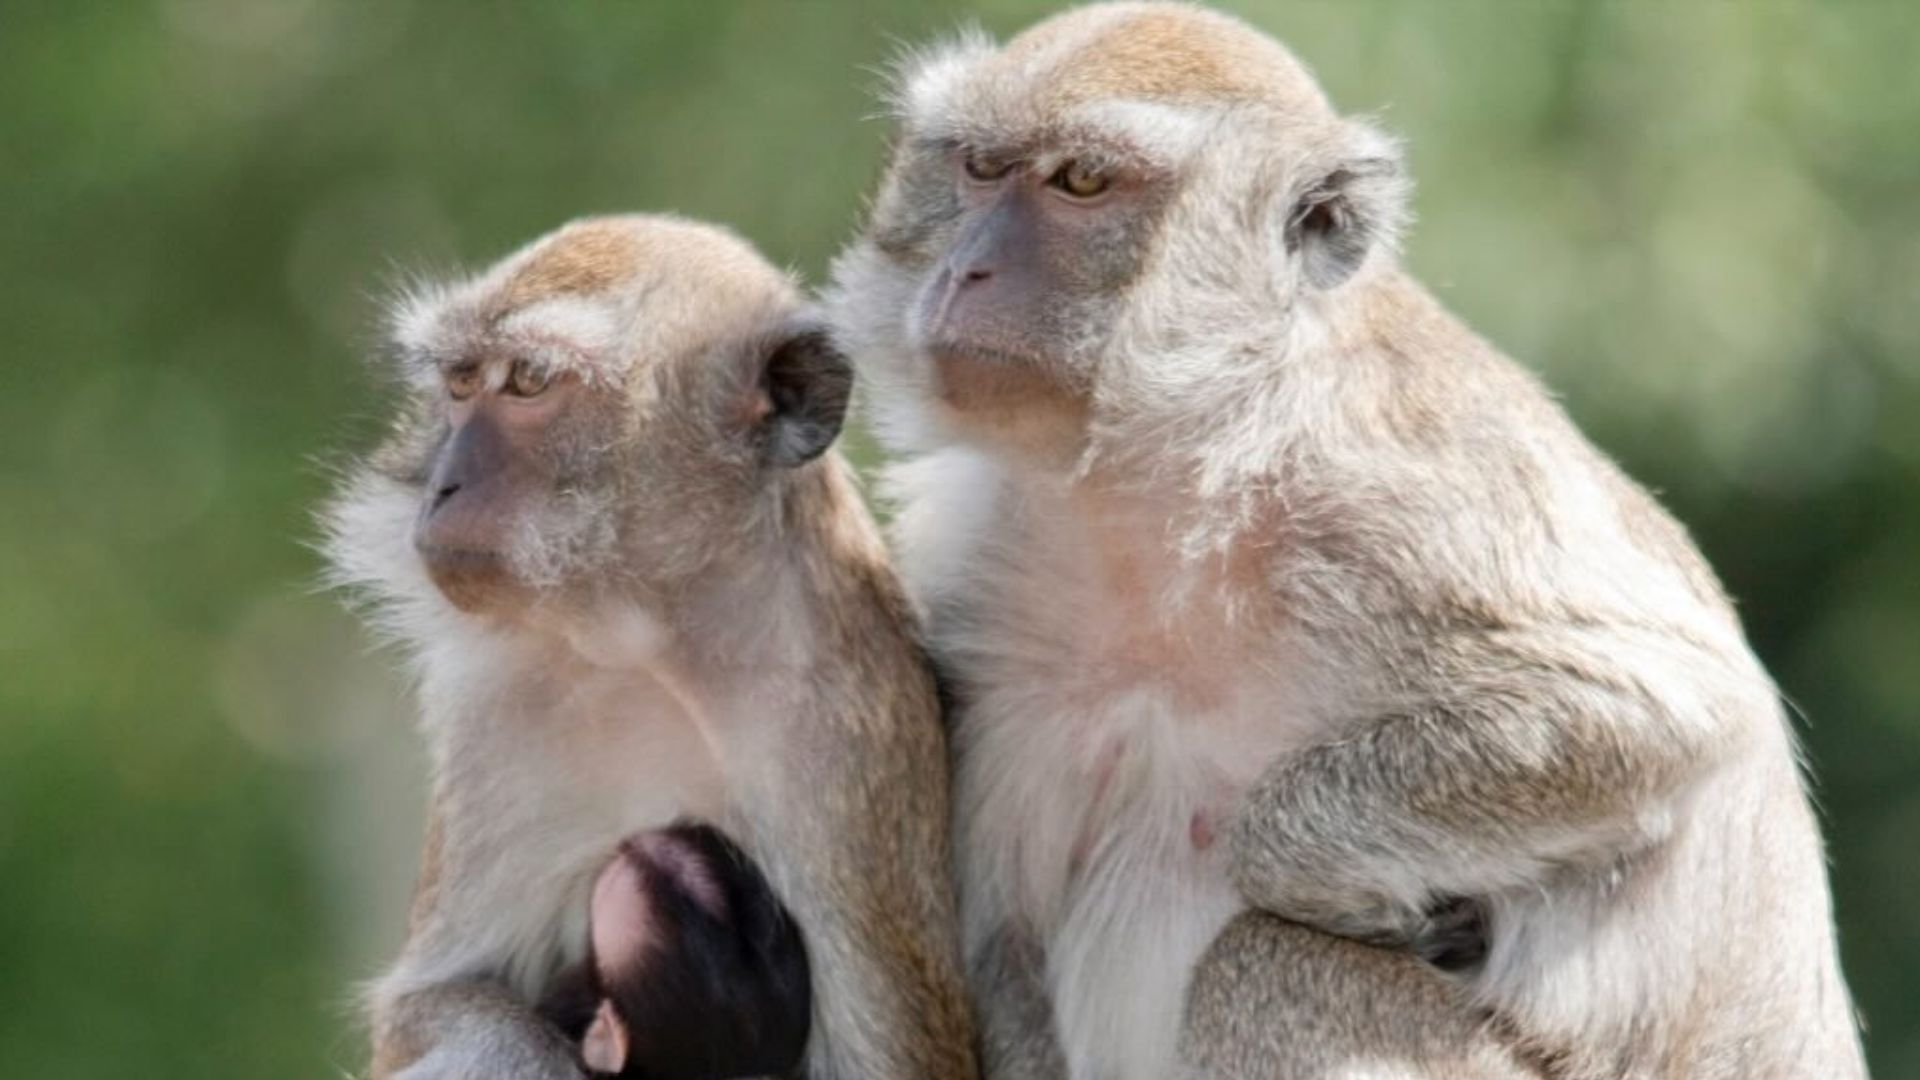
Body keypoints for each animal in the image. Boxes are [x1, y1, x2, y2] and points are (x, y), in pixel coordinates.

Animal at [827, 4, 1866, 1078]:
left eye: (1080, 181)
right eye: (979, 168)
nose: (966, 268)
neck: (1168, 482)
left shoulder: (1401, 501)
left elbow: (1661, 709)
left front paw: (1320, 877)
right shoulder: (983, 589)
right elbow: (1005, 949)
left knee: (1260, 965)